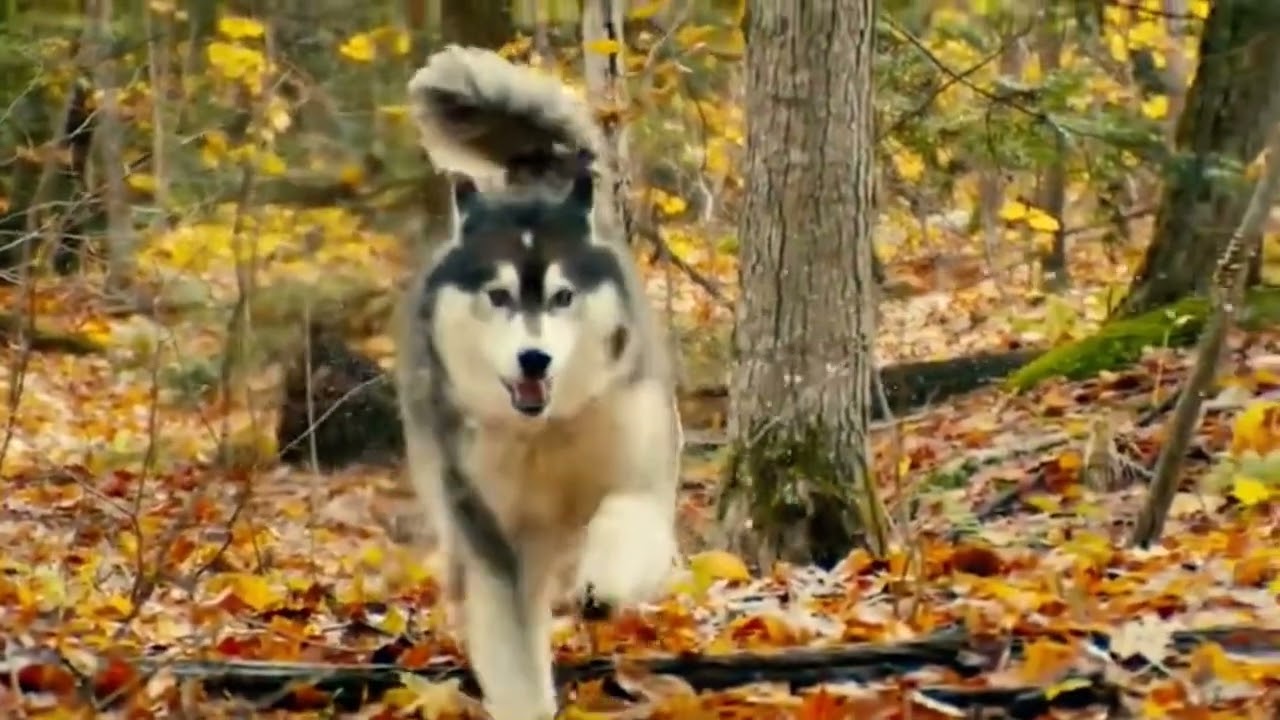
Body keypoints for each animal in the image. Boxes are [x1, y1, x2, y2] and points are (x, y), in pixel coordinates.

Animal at [394, 45, 683, 720]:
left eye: (562, 296)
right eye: (498, 296)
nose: (535, 360)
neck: (545, 433)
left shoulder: (641, 475)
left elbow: (626, 517)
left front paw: (602, 582)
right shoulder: (497, 543)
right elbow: (512, 654)